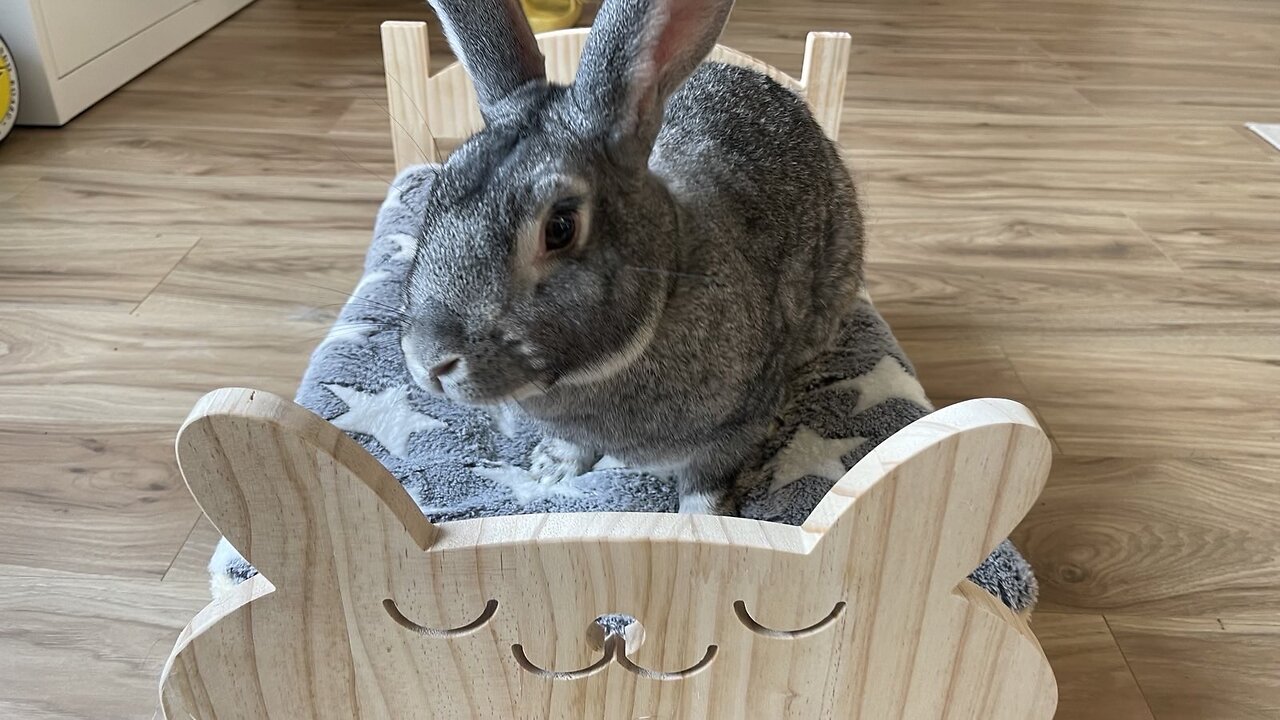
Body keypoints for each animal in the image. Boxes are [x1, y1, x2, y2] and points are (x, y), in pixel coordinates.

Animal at [399, 0, 864, 514]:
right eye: (436, 192)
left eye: (560, 227)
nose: (427, 362)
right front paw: (552, 469)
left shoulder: (738, 421)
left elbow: (707, 477)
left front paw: (703, 518)